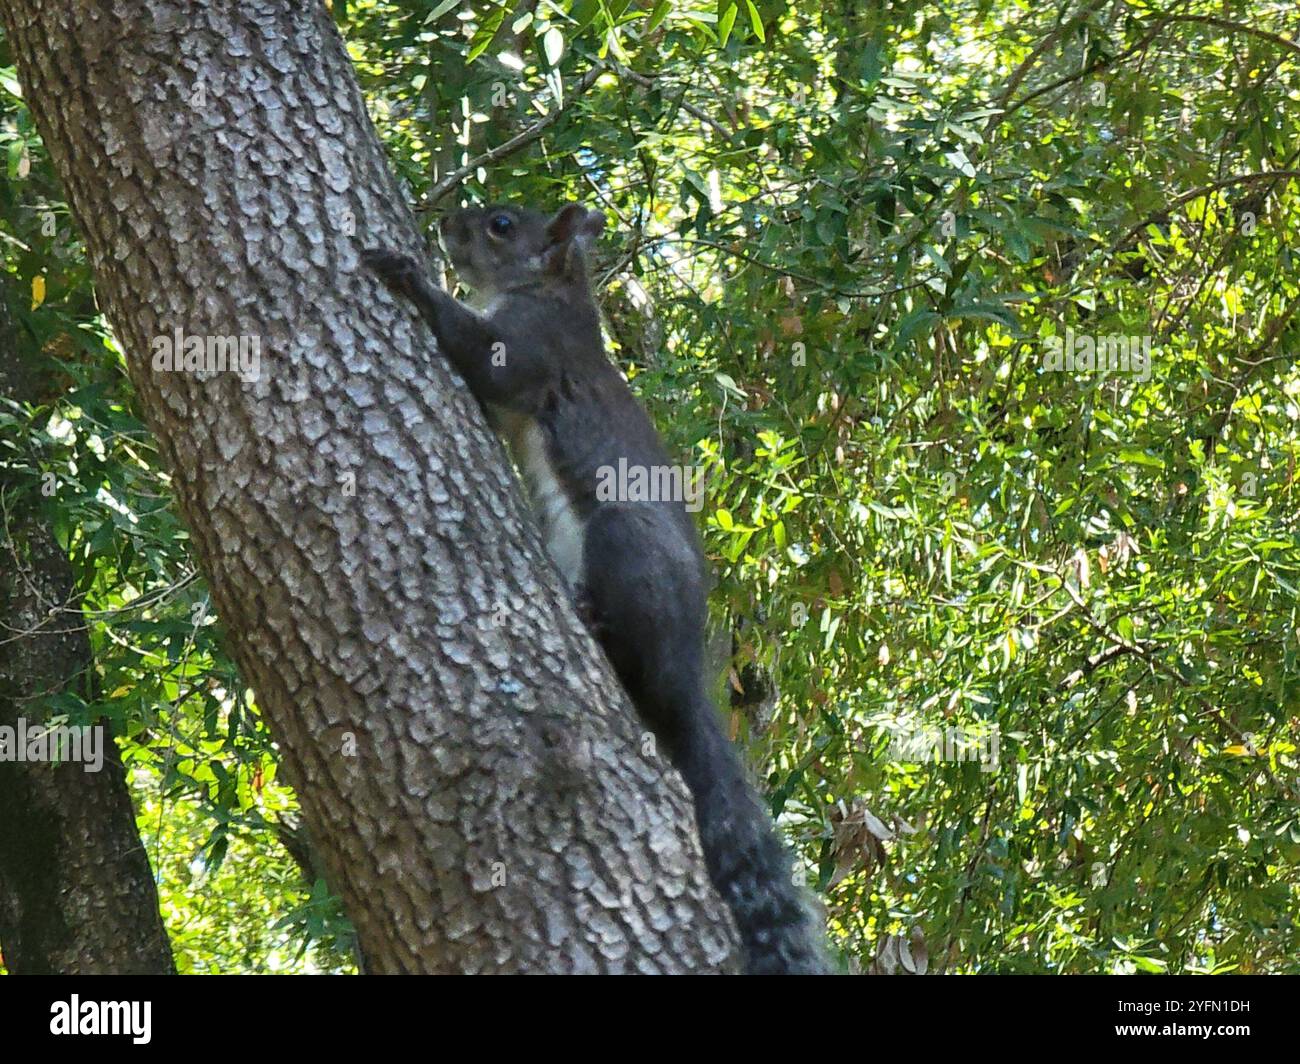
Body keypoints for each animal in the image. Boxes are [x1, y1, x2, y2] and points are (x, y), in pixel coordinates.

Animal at [362, 203, 827, 974]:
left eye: (501, 224)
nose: (449, 223)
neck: (553, 293)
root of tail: (684, 674)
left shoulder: (532, 349)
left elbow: (484, 360)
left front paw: (409, 275)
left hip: (621, 540)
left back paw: (594, 621)